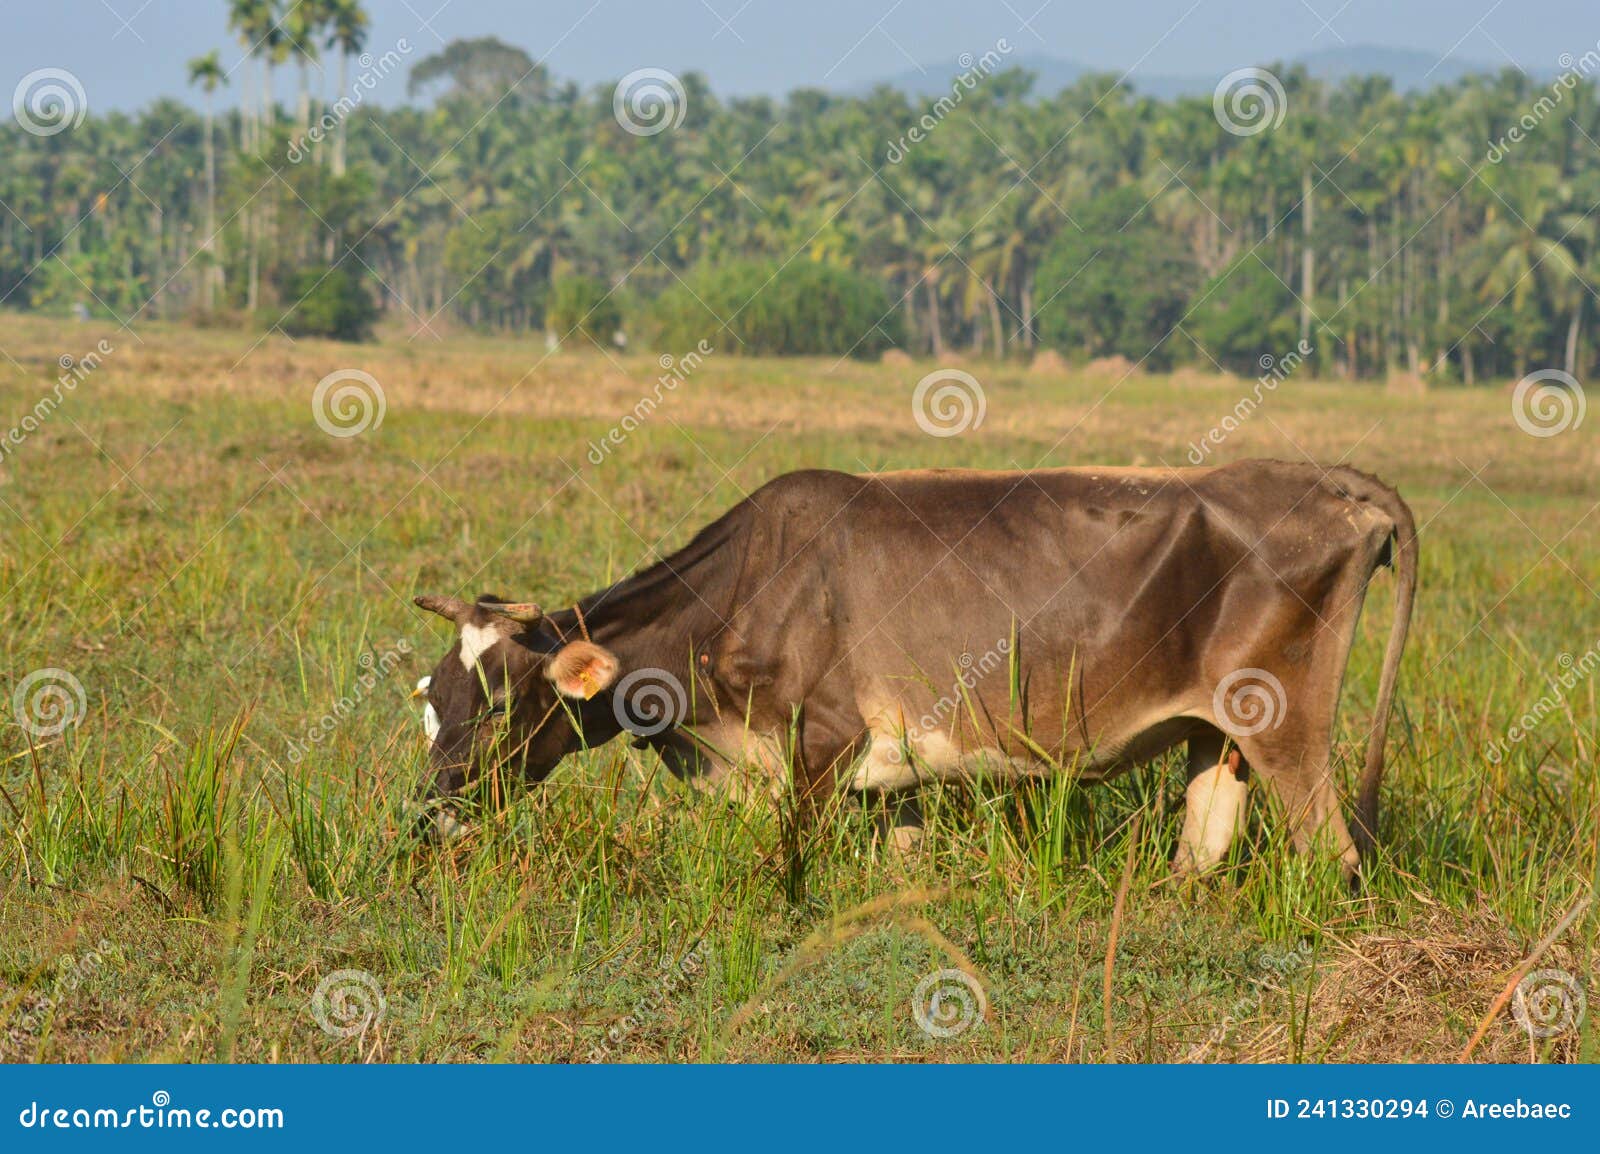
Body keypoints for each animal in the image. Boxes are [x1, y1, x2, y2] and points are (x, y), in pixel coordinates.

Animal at [412, 460, 1416, 878]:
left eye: (499, 707)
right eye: (431, 706)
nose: (430, 818)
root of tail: (1319, 476)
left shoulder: (819, 748)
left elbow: (791, 873)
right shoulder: (893, 782)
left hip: (1288, 724)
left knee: (1333, 855)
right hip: (1220, 730)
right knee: (1201, 852)